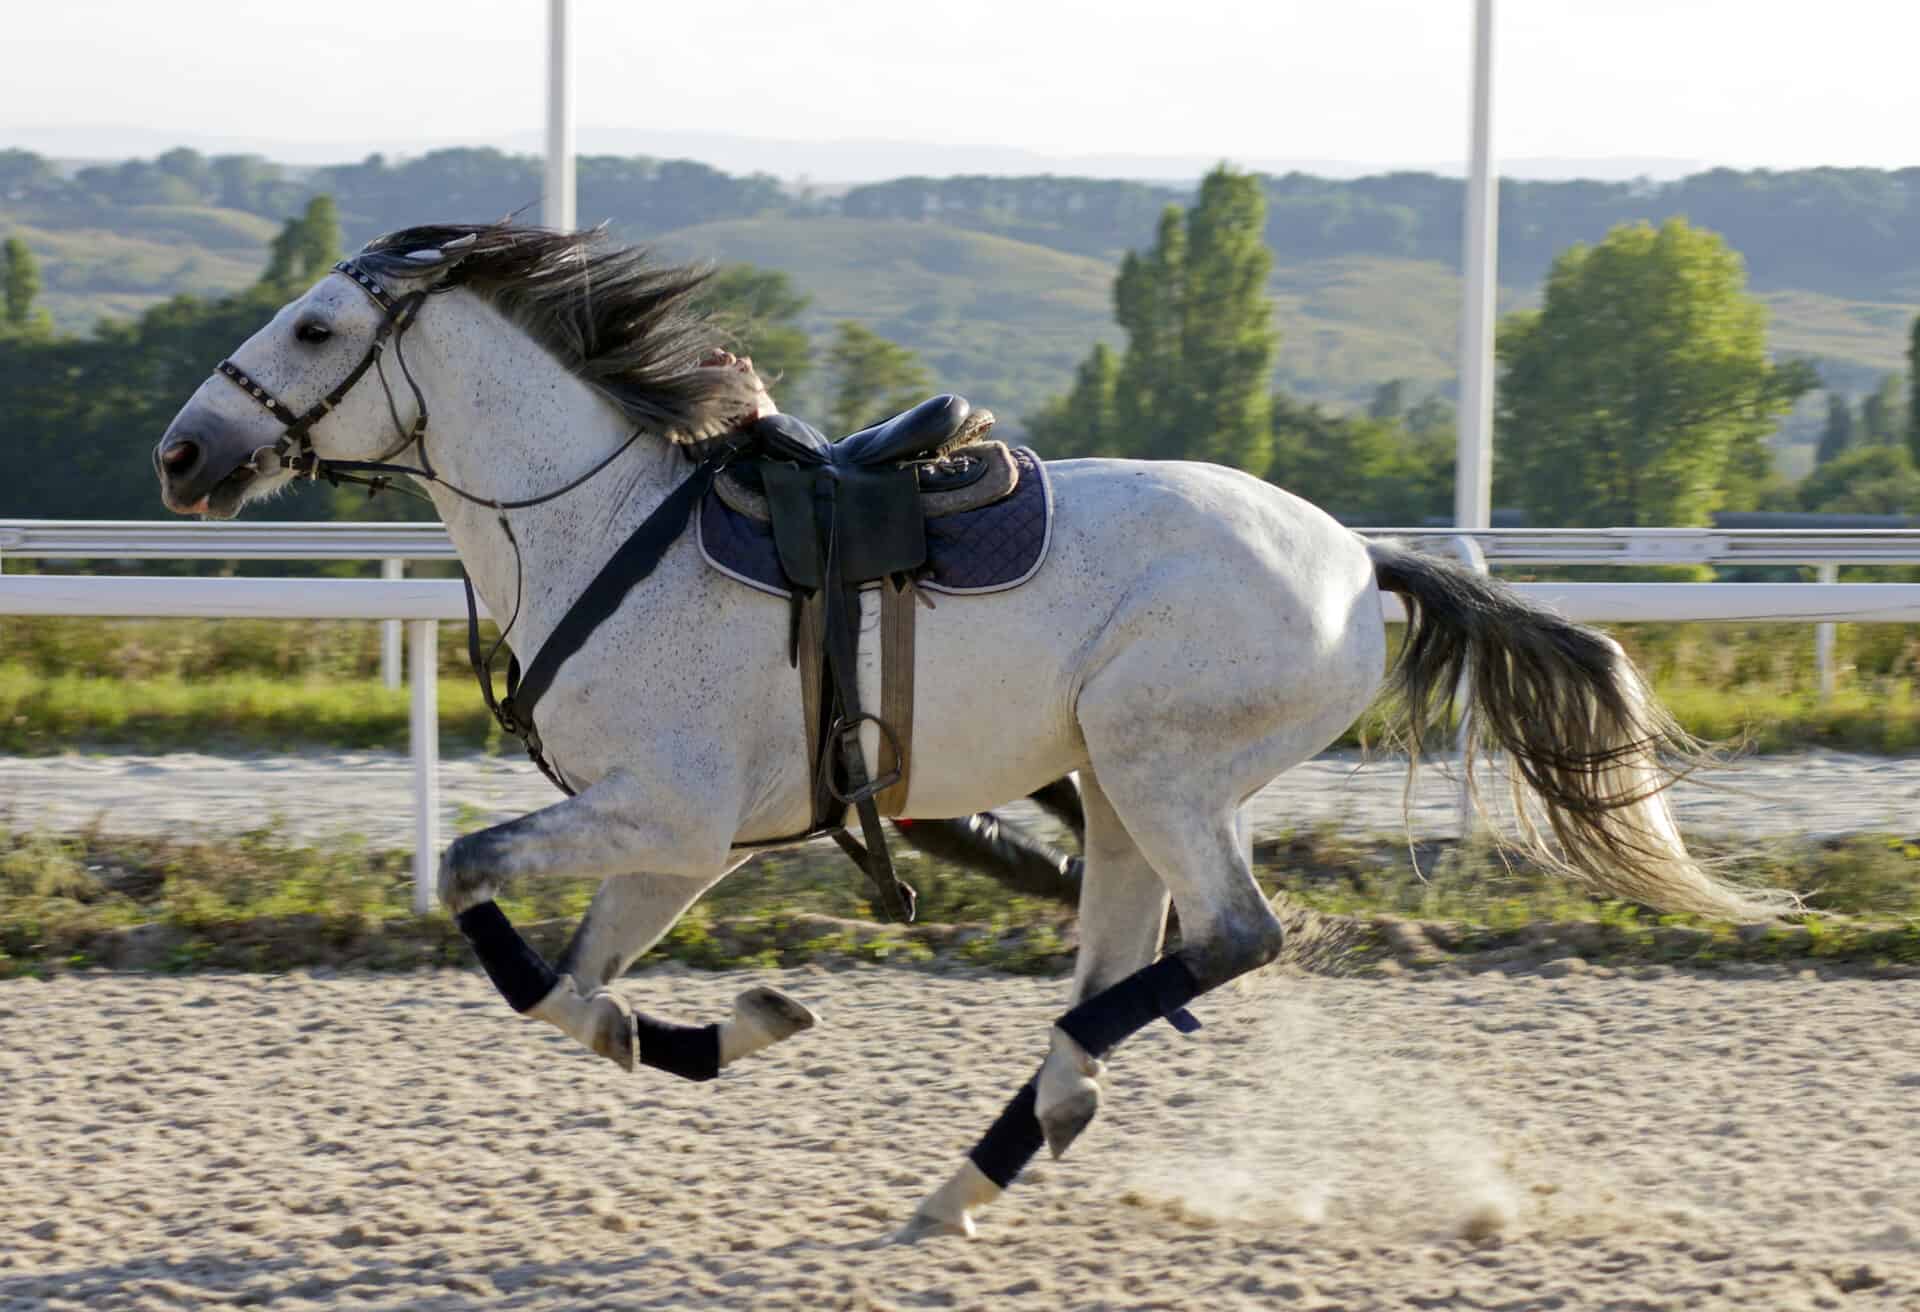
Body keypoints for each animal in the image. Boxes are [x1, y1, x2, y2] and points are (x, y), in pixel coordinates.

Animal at [152, 222, 1795, 1241]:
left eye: (314, 325)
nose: (183, 451)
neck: (607, 526)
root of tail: (1357, 559)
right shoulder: (674, 845)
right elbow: (568, 985)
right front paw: (708, 1030)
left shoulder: (667, 816)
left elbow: (478, 885)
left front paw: (709, 1025)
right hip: (1119, 797)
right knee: (1131, 951)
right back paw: (984, 1166)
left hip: (1156, 766)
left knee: (1232, 937)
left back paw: (1041, 1104)